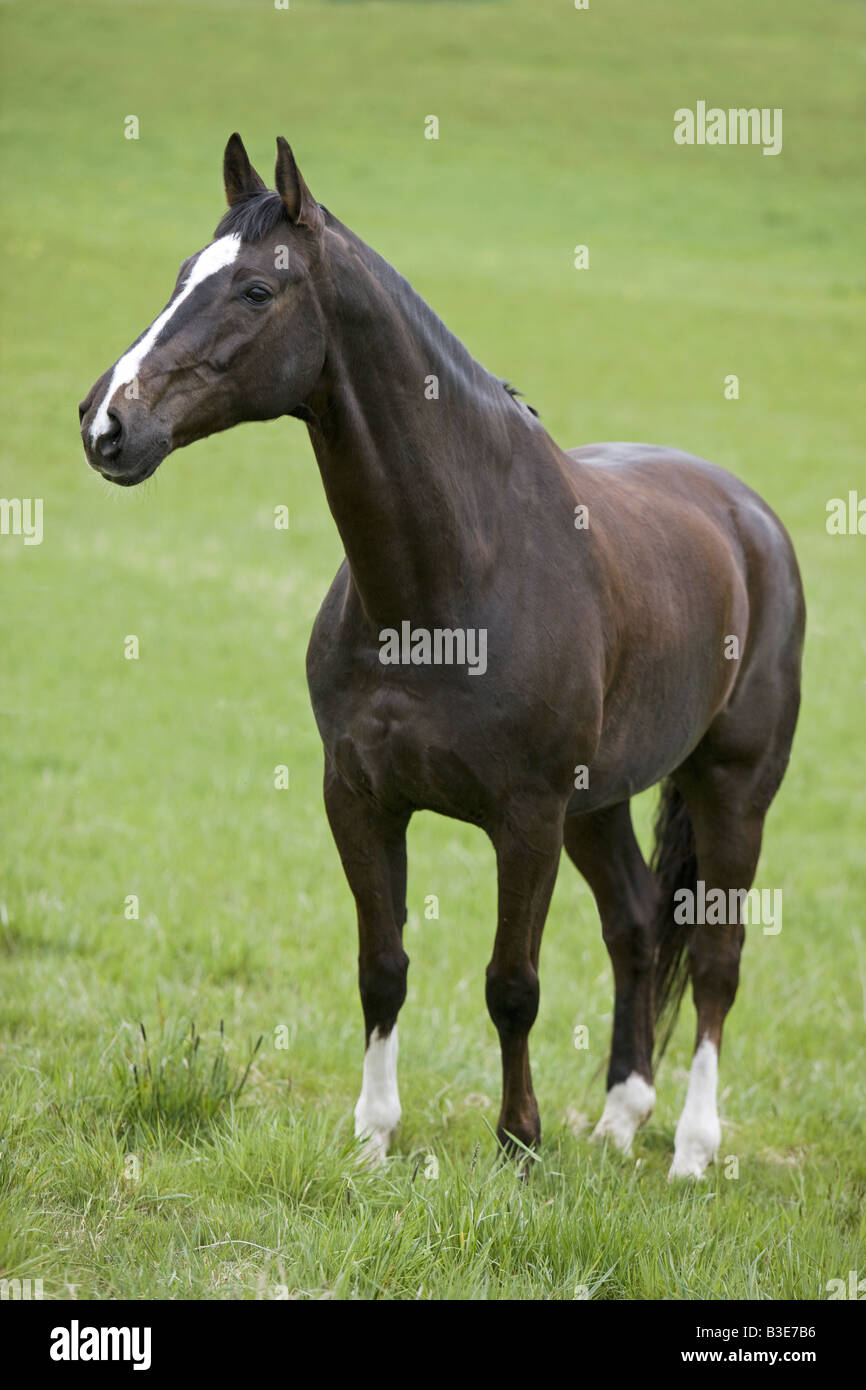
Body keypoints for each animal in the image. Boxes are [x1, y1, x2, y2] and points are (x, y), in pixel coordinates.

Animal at [79, 135, 805, 1178]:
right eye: (184, 276)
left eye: (257, 290)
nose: (107, 424)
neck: (455, 576)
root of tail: (750, 519)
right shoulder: (360, 799)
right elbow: (382, 968)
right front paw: (374, 1137)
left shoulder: (525, 817)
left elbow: (513, 984)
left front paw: (518, 1144)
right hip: (602, 800)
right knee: (633, 923)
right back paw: (619, 1119)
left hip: (732, 786)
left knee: (714, 960)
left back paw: (692, 1151)